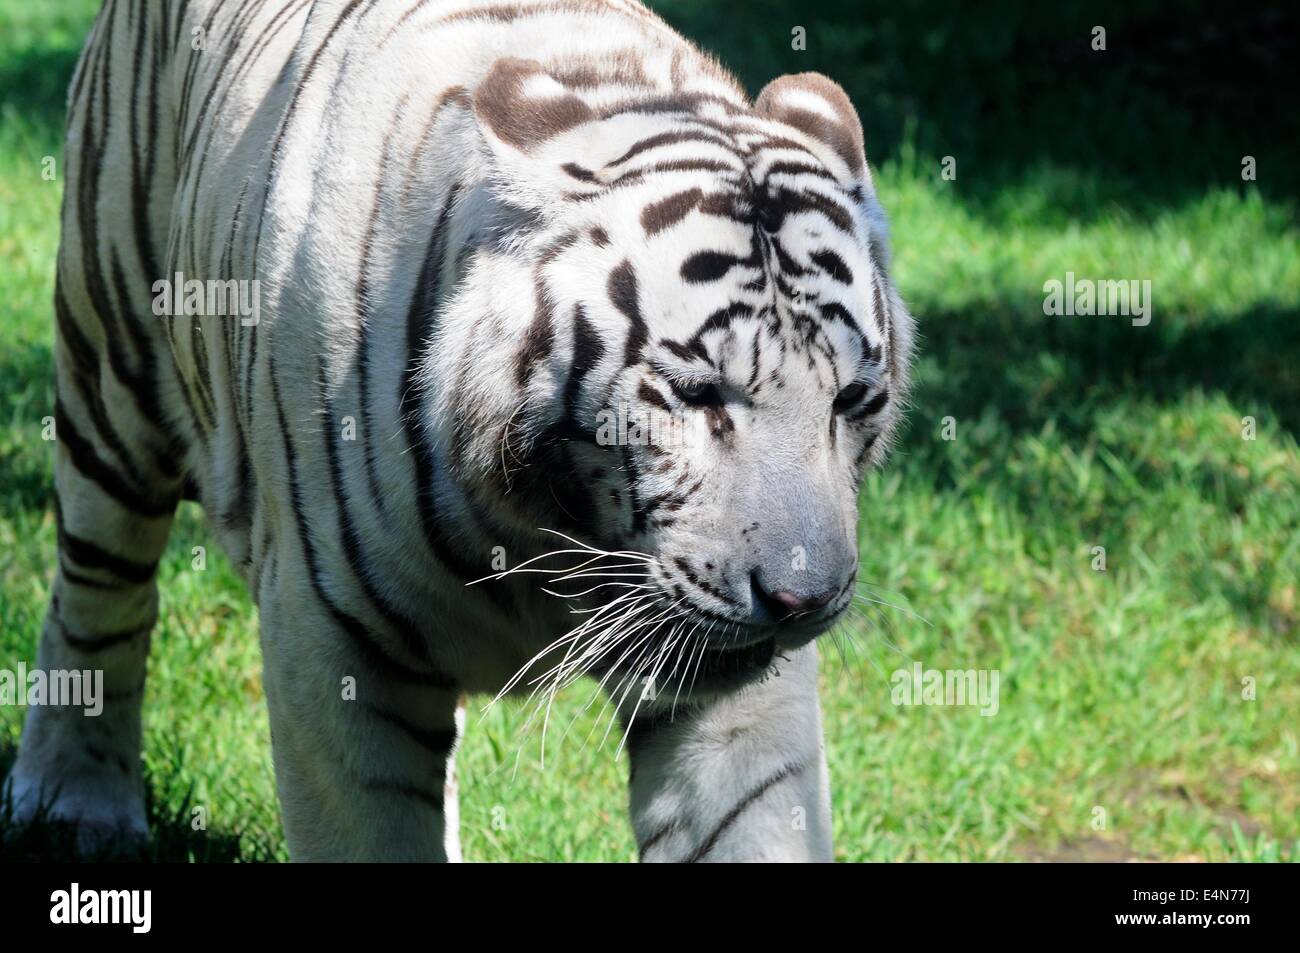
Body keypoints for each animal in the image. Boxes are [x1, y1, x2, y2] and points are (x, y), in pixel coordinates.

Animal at [5, 0, 914, 862]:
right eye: (696, 394)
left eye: (850, 399)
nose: (804, 601)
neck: (552, 530)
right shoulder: (330, 634)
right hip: (109, 364)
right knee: (99, 592)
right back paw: (74, 802)